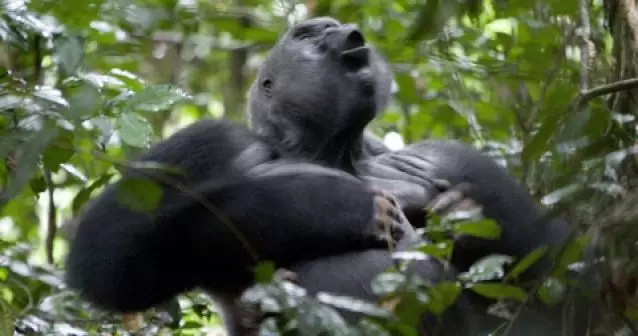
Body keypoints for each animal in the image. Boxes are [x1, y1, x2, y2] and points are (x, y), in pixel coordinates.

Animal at [248, 15, 604, 334]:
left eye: (333, 26)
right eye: (307, 37)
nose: (349, 34)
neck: (336, 152)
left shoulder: (451, 157)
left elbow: (564, 266)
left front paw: (466, 217)